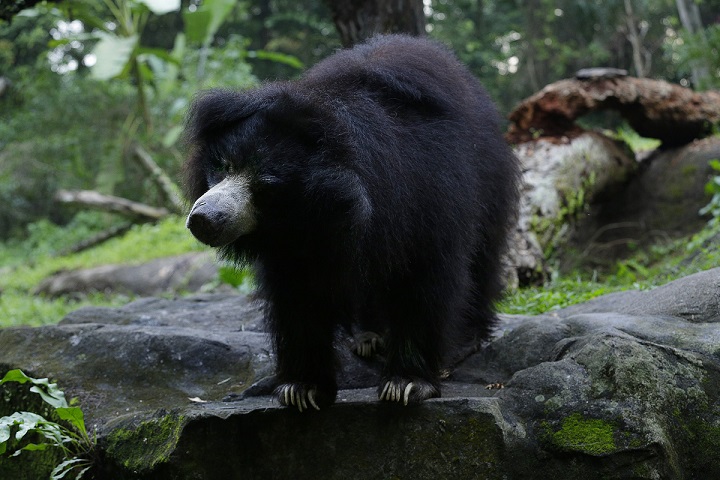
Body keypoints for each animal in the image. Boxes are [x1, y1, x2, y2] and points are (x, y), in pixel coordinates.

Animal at [183, 34, 521, 411]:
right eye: (223, 166)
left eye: (267, 183)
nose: (204, 219)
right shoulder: (295, 246)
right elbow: (297, 297)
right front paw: (301, 388)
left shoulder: (430, 194)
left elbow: (426, 277)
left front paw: (406, 384)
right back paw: (368, 336)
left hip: (490, 181)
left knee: (483, 257)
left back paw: (465, 339)